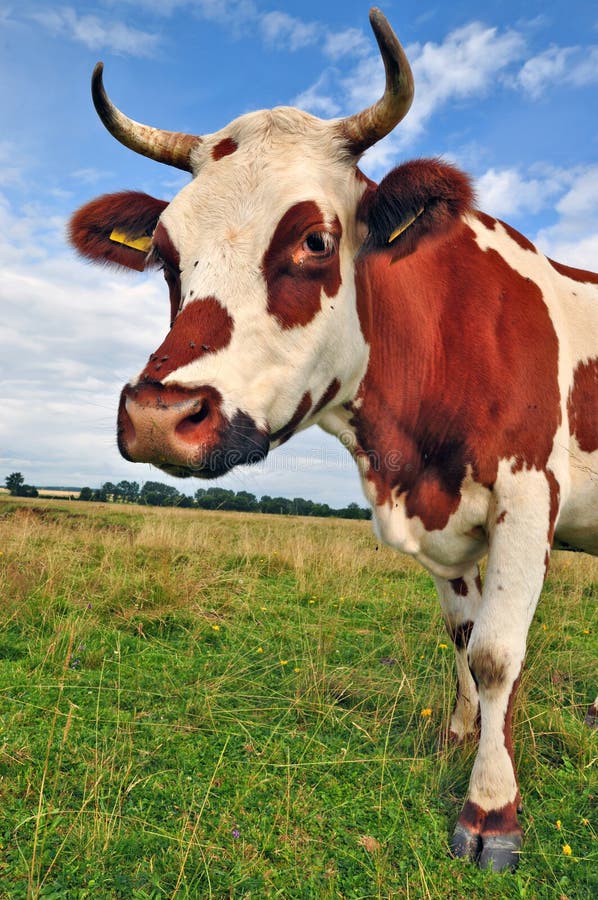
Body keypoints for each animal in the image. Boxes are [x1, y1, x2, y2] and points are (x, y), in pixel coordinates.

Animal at [69, 7, 598, 873]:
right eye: (165, 255)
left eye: (316, 240)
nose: (157, 416)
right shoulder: (445, 522)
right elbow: (464, 636)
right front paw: (460, 740)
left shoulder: (528, 492)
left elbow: (497, 654)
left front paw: (492, 810)